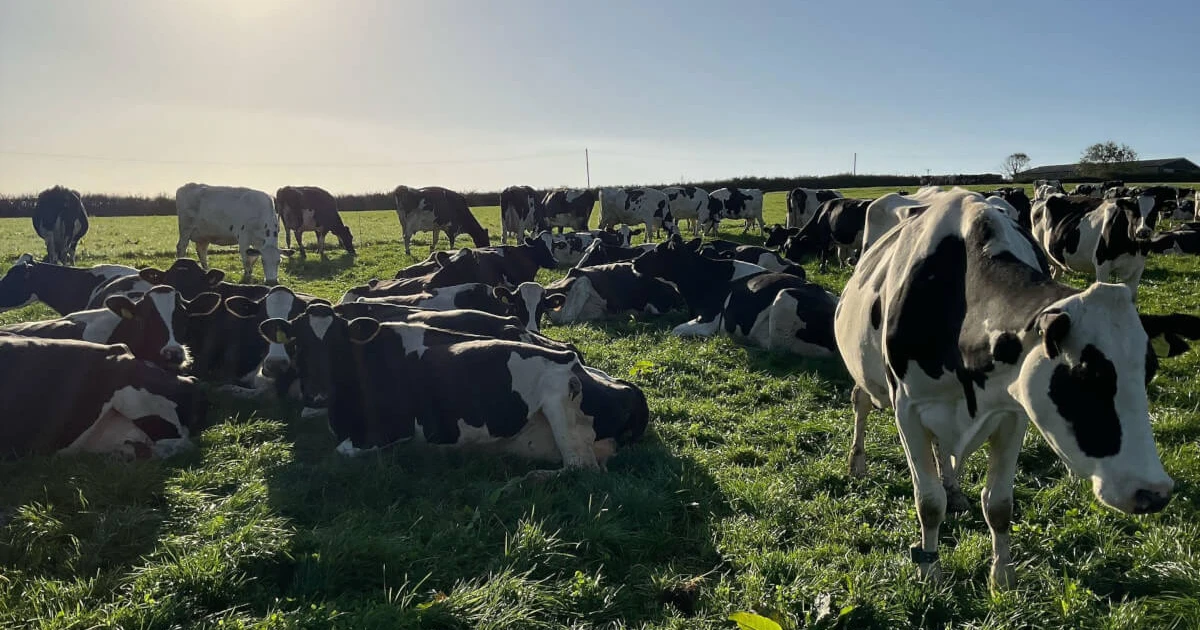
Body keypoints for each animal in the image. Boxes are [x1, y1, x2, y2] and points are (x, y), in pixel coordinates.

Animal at [258, 304, 608, 468]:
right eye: (296, 344)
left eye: (339, 346)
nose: (318, 395)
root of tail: (567, 355)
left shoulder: (391, 430)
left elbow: (342, 452)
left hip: (558, 404)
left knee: (581, 468)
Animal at [835, 187, 1190, 588]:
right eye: (1083, 376)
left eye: (1148, 372)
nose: (1154, 493)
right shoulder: (907, 410)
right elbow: (928, 502)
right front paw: (931, 572)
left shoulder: (1012, 413)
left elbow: (999, 504)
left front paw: (1002, 575)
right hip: (863, 371)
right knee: (861, 403)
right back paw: (857, 463)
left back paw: (954, 489)